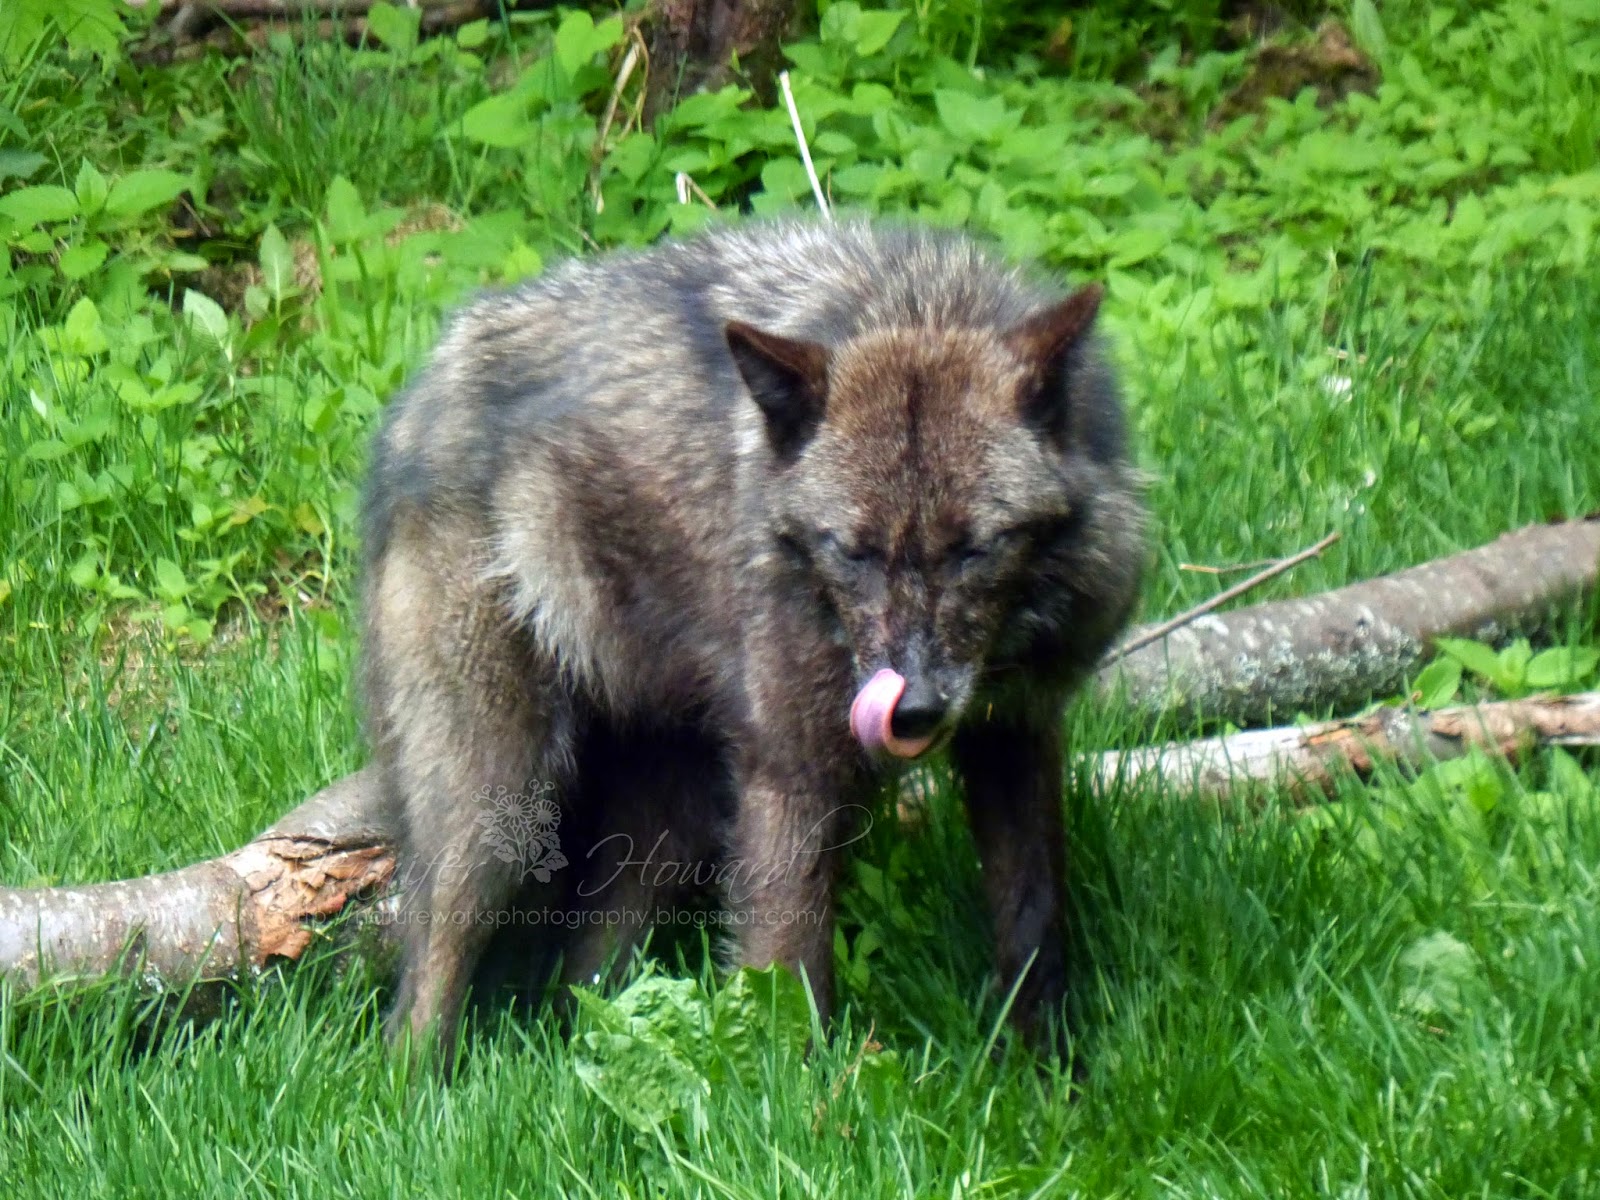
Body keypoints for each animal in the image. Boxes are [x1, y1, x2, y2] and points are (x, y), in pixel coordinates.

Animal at [360, 219, 1146, 1060]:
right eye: (853, 552)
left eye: (975, 549)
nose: (913, 712)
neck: (917, 302)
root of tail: (415, 398)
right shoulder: (791, 771)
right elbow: (787, 969)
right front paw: (805, 1088)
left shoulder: (1018, 734)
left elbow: (1034, 919)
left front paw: (1046, 1067)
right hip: (498, 812)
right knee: (421, 991)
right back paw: (420, 1082)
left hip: (667, 822)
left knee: (580, 981)